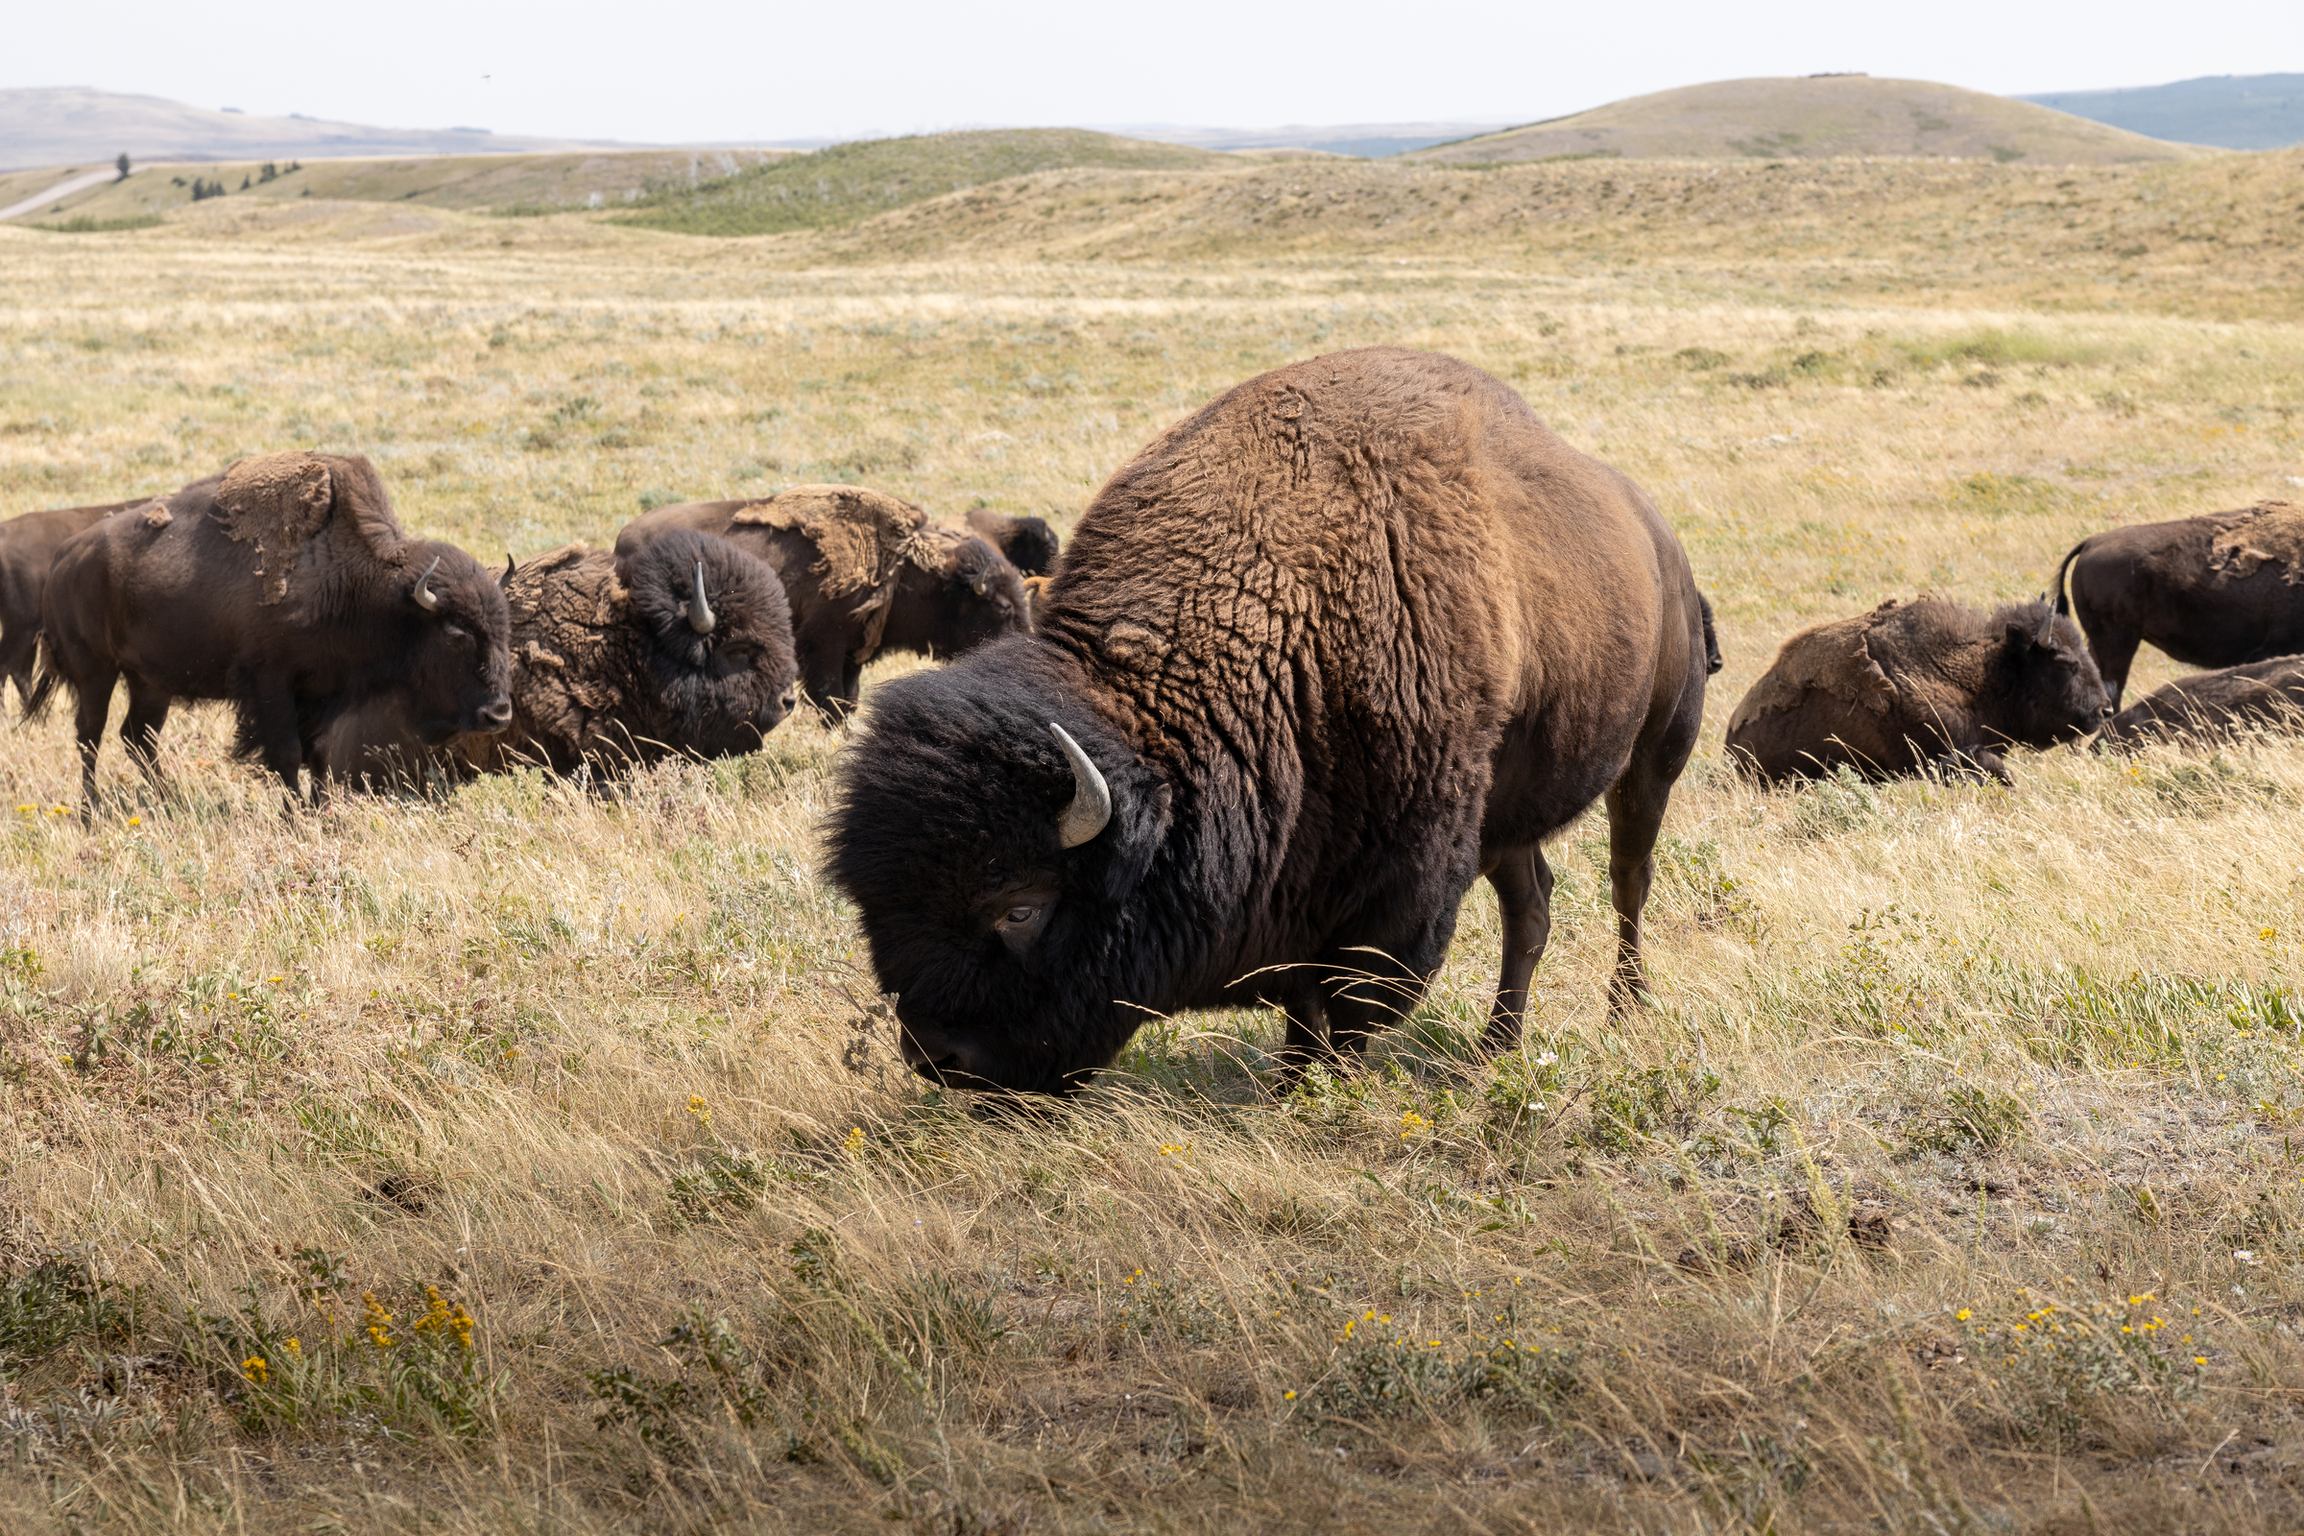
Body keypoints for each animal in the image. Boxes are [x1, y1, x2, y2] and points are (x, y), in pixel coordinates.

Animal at [30, 453, 512, 811]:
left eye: (502, 631)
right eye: (455, 632)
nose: (498, 714)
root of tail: (62, 562)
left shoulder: (323, 691)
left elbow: (318, 754)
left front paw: (321, 812)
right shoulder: (271, 684)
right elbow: (288, 753)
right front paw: (295, 816)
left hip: (150, 681)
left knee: (137, 737)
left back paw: (171, 801)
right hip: (96, 673)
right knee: (89, 737)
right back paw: (91, 811)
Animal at [619, 485, 1028, 725]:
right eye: (1001, 607)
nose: (1021, 649)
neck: (901, 567)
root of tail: (623, 540)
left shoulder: (852, 653)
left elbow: (849, 699)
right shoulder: (825, 647)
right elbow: (831, 701)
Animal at [827, 347, 1715, 1096]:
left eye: (1020, 907)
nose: (938, 1057)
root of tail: (1662, 542)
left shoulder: (1400, 879)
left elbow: (1352, 995)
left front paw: (1324, 1084)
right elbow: (1304, 995)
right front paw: (1294, 1078)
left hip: (1652, 760)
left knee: (1628, 879)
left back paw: (1623, 1009)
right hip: (1507, 819)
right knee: (1531, 906)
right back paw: (1497, 1045)